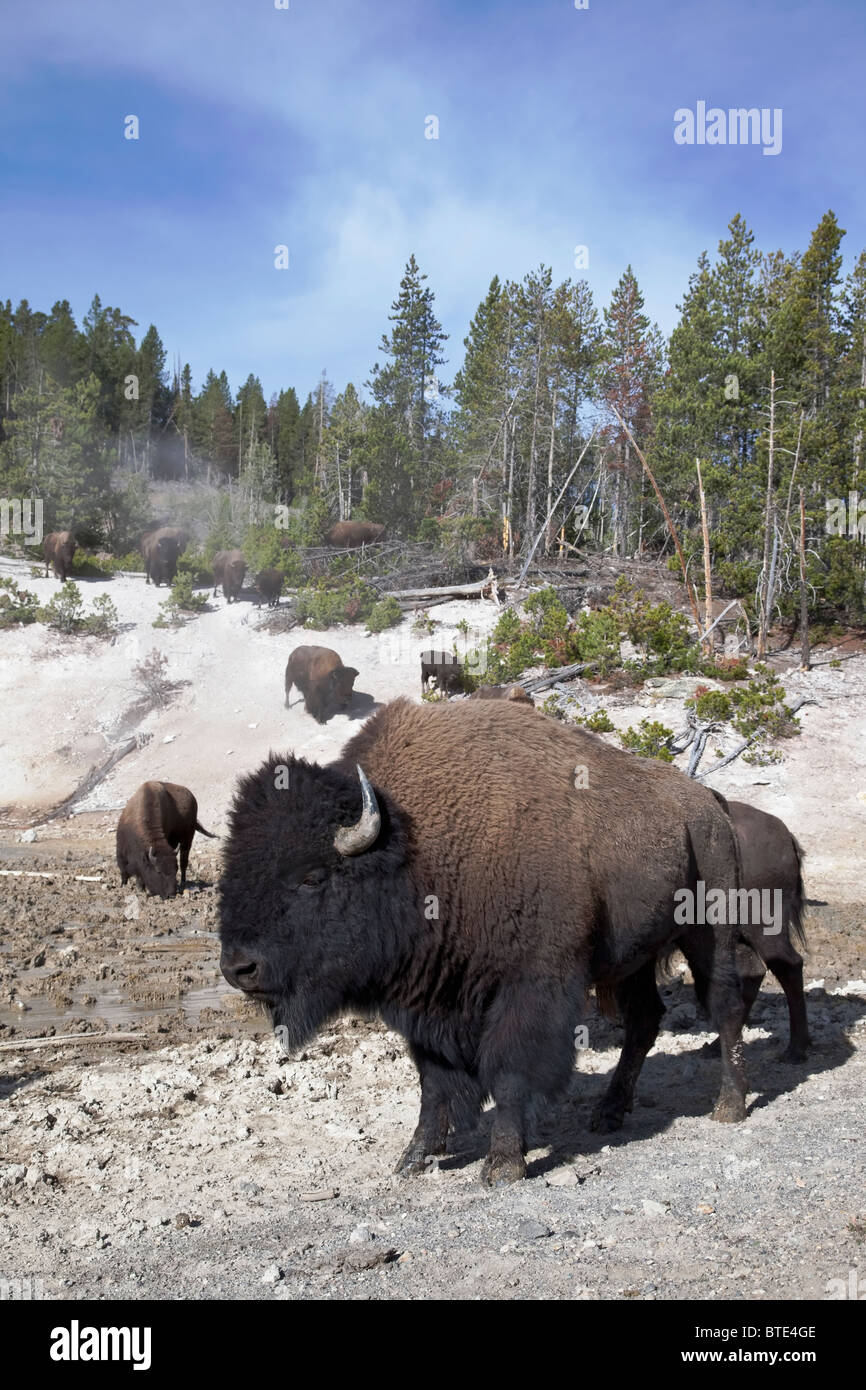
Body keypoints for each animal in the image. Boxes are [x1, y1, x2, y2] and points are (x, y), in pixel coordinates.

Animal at [218, 698, 749, 1186]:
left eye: (312, 877)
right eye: (234, 867)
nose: (239, 968)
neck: (417, 850)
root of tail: (708, 803)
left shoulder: (530, 988)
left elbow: (510, 1070)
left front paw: (503, 1164)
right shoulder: (430, 1003)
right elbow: (434, 1083)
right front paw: (413, 1159)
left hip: (709, 929)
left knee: (724, 1005)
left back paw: (730, 1106)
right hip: (634, 959)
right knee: (644, 1021)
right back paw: (609, 1114)